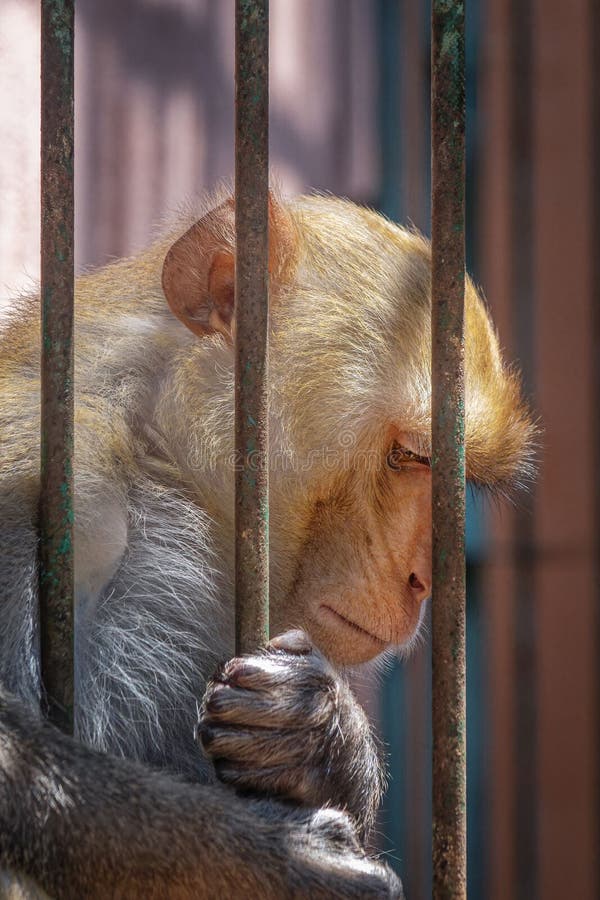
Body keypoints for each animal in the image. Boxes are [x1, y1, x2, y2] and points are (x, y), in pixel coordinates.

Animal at [0, 189, 535, 898]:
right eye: (413, 456)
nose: (425, 577)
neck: (158, 456)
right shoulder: (50, 483)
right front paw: (268, 860)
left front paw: (322, 736)